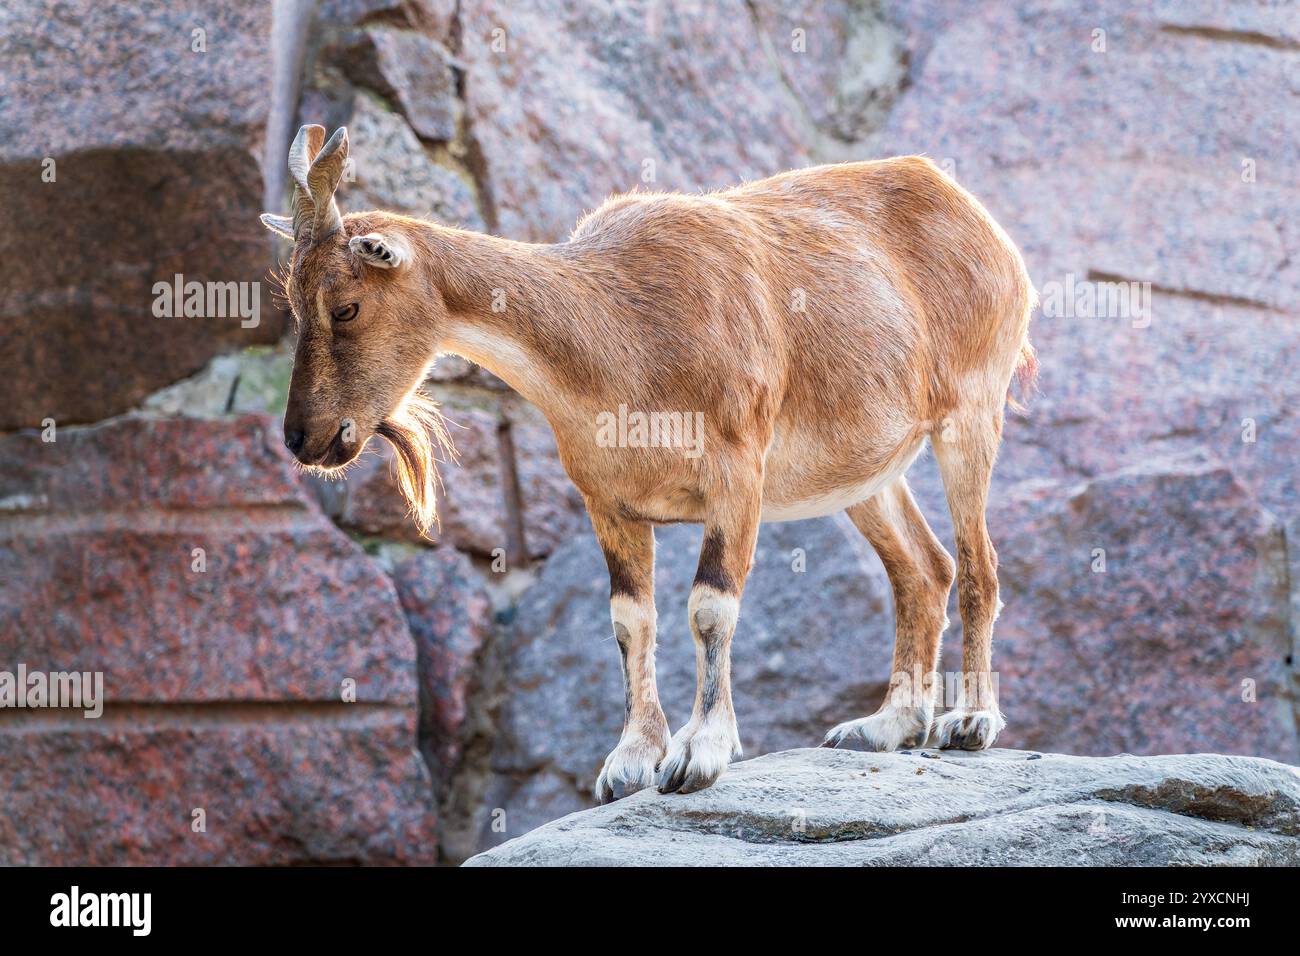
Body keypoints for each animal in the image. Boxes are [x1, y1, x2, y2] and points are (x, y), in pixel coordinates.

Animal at [262, 125, 1037, 799]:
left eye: (346, 306)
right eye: (293, 300)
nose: (306, 438)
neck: (621, 329)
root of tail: (976, 218)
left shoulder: (737, 473)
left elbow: (710, 607)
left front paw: (700, 754)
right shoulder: (609, 501)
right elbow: (630, 620)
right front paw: (630, 761)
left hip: (972, 414)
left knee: (978, 566)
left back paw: (970, 721)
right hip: (865, 476)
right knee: (923, 570)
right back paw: (886, 726)